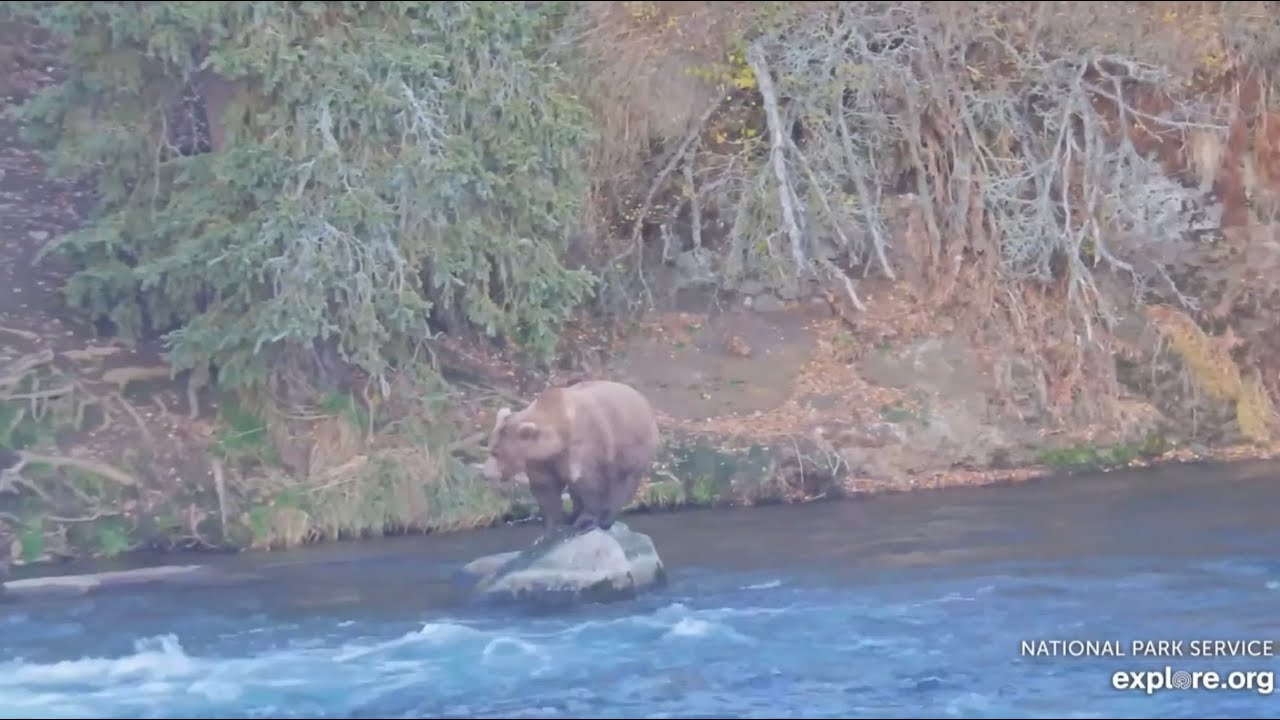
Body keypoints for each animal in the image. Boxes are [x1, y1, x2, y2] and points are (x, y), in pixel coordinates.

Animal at [478, 379, 660, 538]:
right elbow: (546, 490)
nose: (486, 474)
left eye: (496, 452)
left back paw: (605, 518)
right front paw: (551, 528)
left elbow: (590, 483)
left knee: (622, 482)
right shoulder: (541, 461)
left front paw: (586, 521)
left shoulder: (584, 446)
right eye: (491, 448)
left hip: (631, 445)